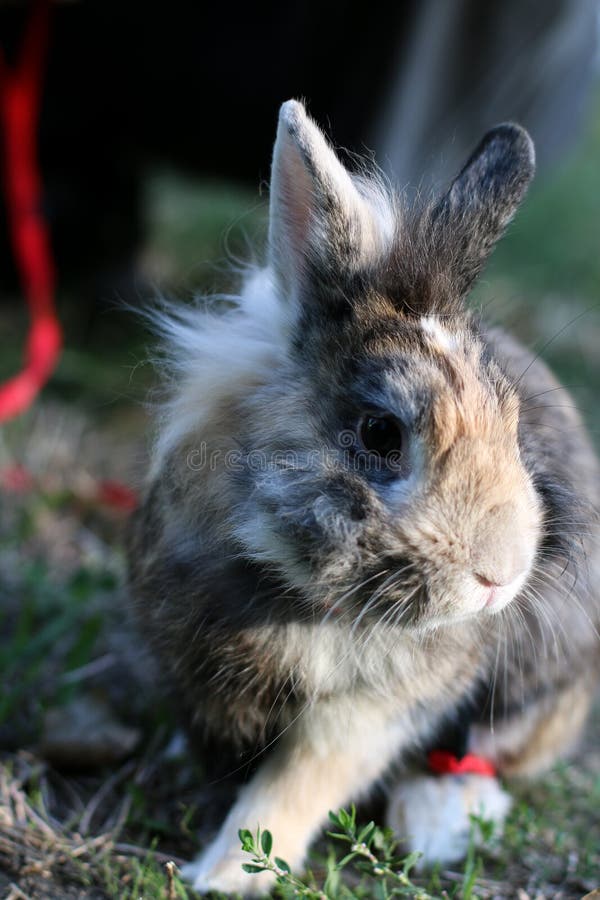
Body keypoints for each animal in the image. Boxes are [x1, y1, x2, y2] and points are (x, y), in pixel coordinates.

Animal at [127, 100, 600, 896]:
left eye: (513, 422)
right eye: (380, 433)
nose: (499, 578)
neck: (300, 595)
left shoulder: (370, 713)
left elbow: (295, 788)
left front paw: (225, 875)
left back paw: (439, 818)